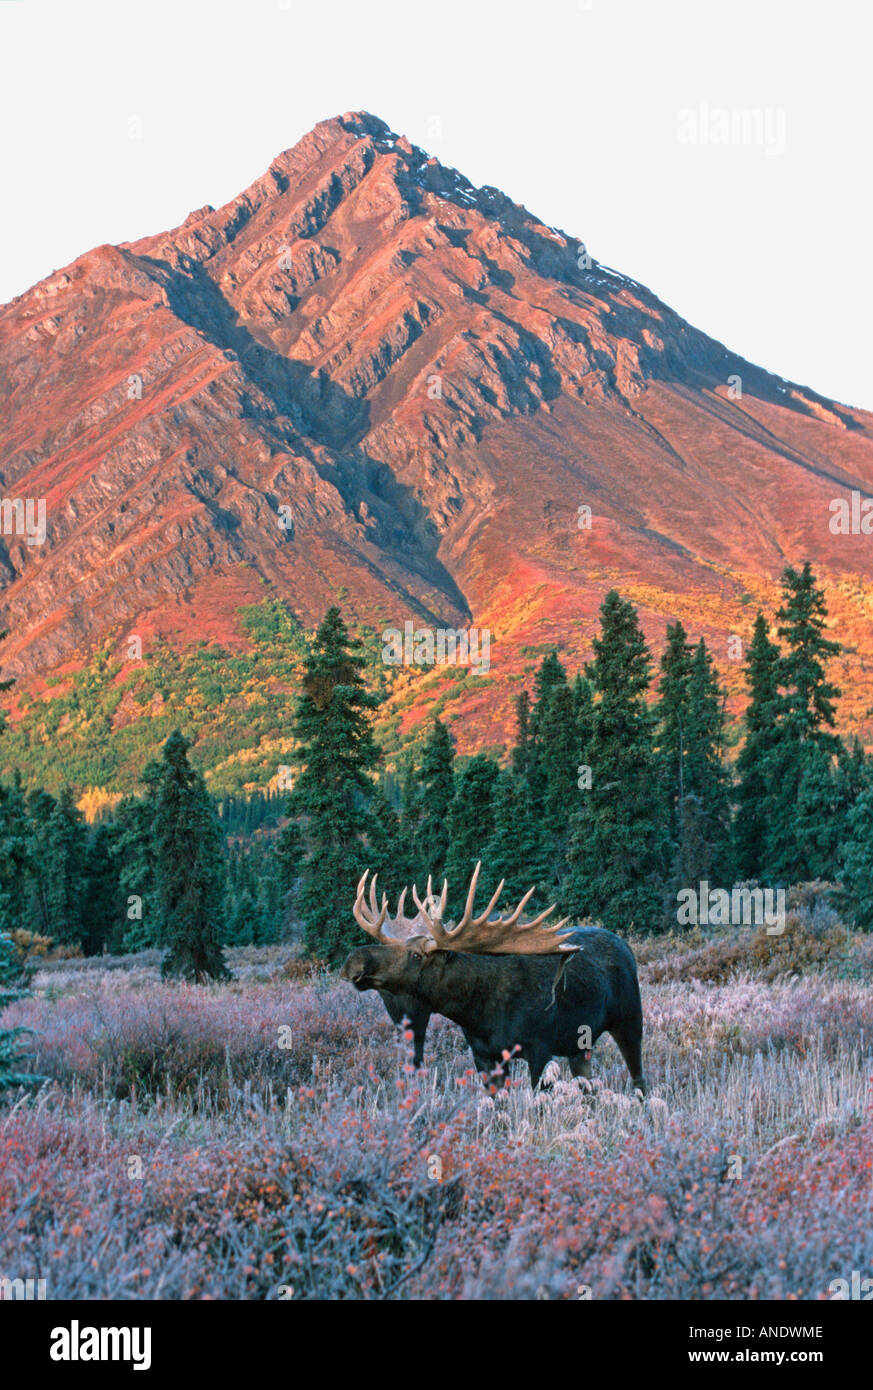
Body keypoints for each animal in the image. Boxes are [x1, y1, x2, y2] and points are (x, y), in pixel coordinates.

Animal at [341, 862, 645, 1093]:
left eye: (416, 955)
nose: (353, 962)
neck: (477, 1012)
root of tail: (627, 948)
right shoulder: (484, 1055)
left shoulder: (540, 1047)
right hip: (579, 1044)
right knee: (587, 1083)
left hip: (629, 1022)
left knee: (640, 1079)